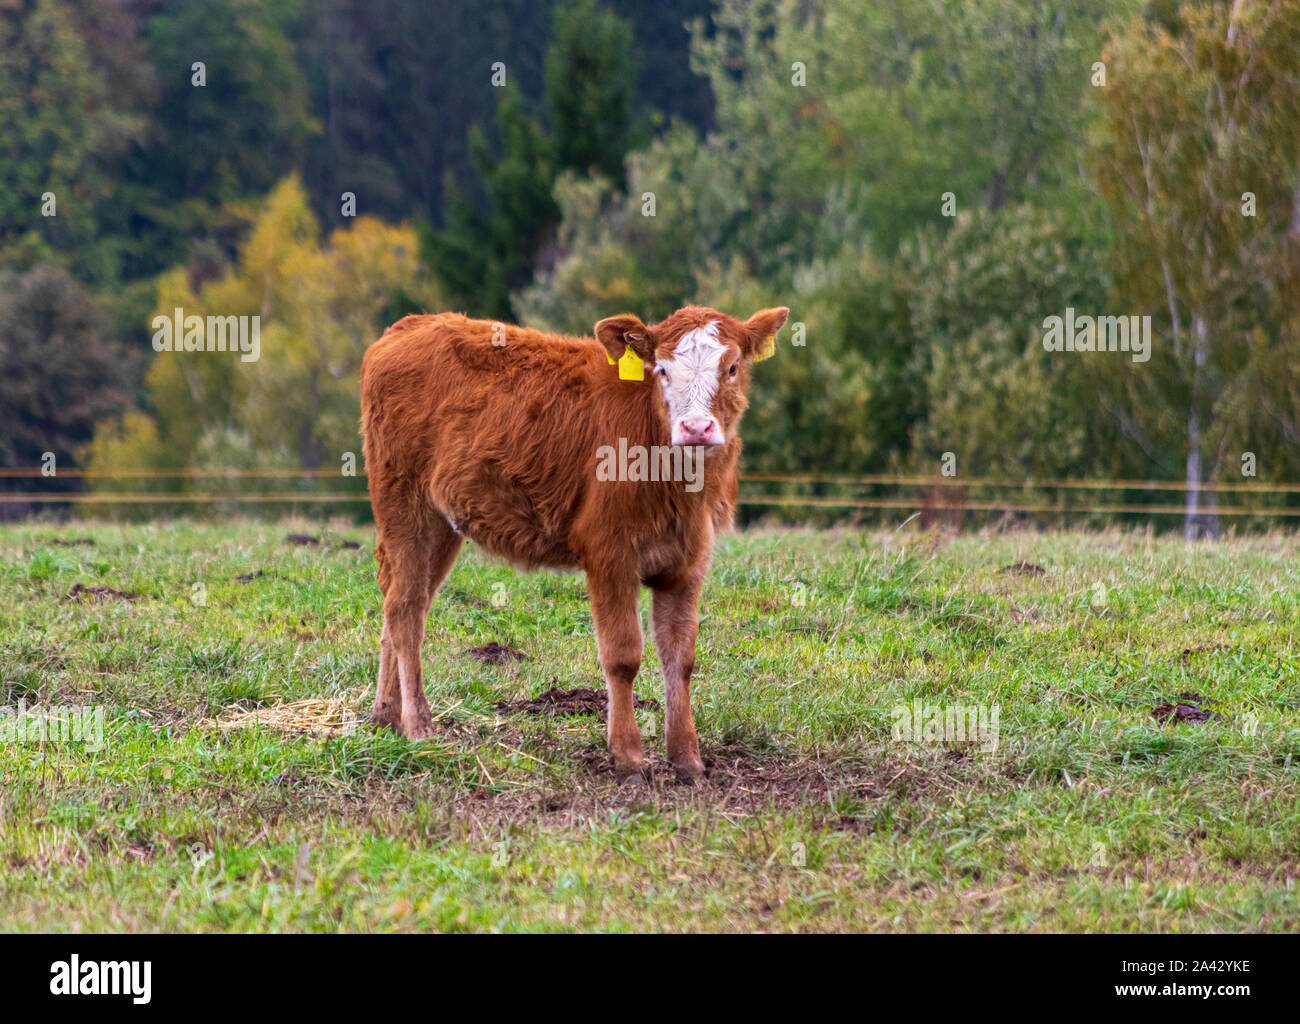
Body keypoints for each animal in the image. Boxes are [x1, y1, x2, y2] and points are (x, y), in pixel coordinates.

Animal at [360, 304, 789, 781]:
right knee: (405, 609)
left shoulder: (689, 562)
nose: (696, 427)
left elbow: (681, 658)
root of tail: (413, 323)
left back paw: (386, 718)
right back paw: (419, 725)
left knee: (404, 601)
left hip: (440, 523)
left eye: (731, 368)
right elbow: (623, 654)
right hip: (404, 504)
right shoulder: (608, 551)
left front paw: (687, 758)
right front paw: (627, 755)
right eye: (662, 369)